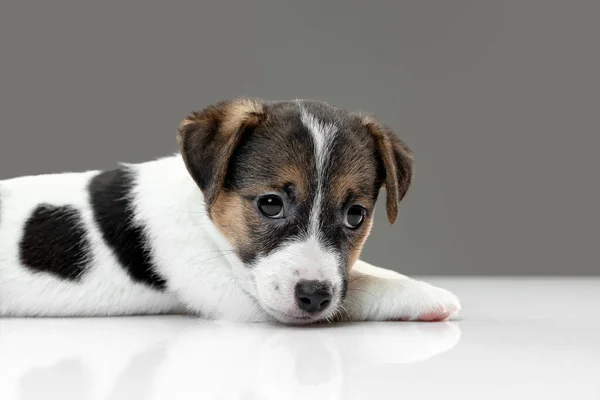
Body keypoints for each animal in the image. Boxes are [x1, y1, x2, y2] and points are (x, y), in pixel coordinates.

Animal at [0, 98, 462, 324]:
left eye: (355, 215)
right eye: (270, 204)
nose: (314, 296)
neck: (207, 220)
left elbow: (357, 277)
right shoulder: (246, 300)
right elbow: (360, 290)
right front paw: (427, 295)